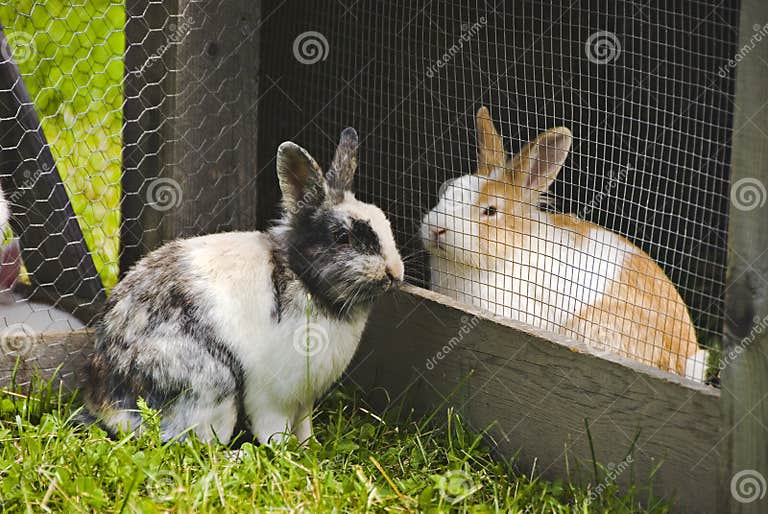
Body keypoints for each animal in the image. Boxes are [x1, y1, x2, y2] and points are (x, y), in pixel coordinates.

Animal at [84, 127, 404, 444]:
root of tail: (107, 405)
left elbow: (304, 425)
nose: (394, 273)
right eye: (342, 237)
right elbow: (274, 430)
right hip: (215, 389)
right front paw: (285, 451)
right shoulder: (272, 398)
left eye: (385, 223)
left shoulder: (304, 399)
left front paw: (309, 447)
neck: (305, 279)